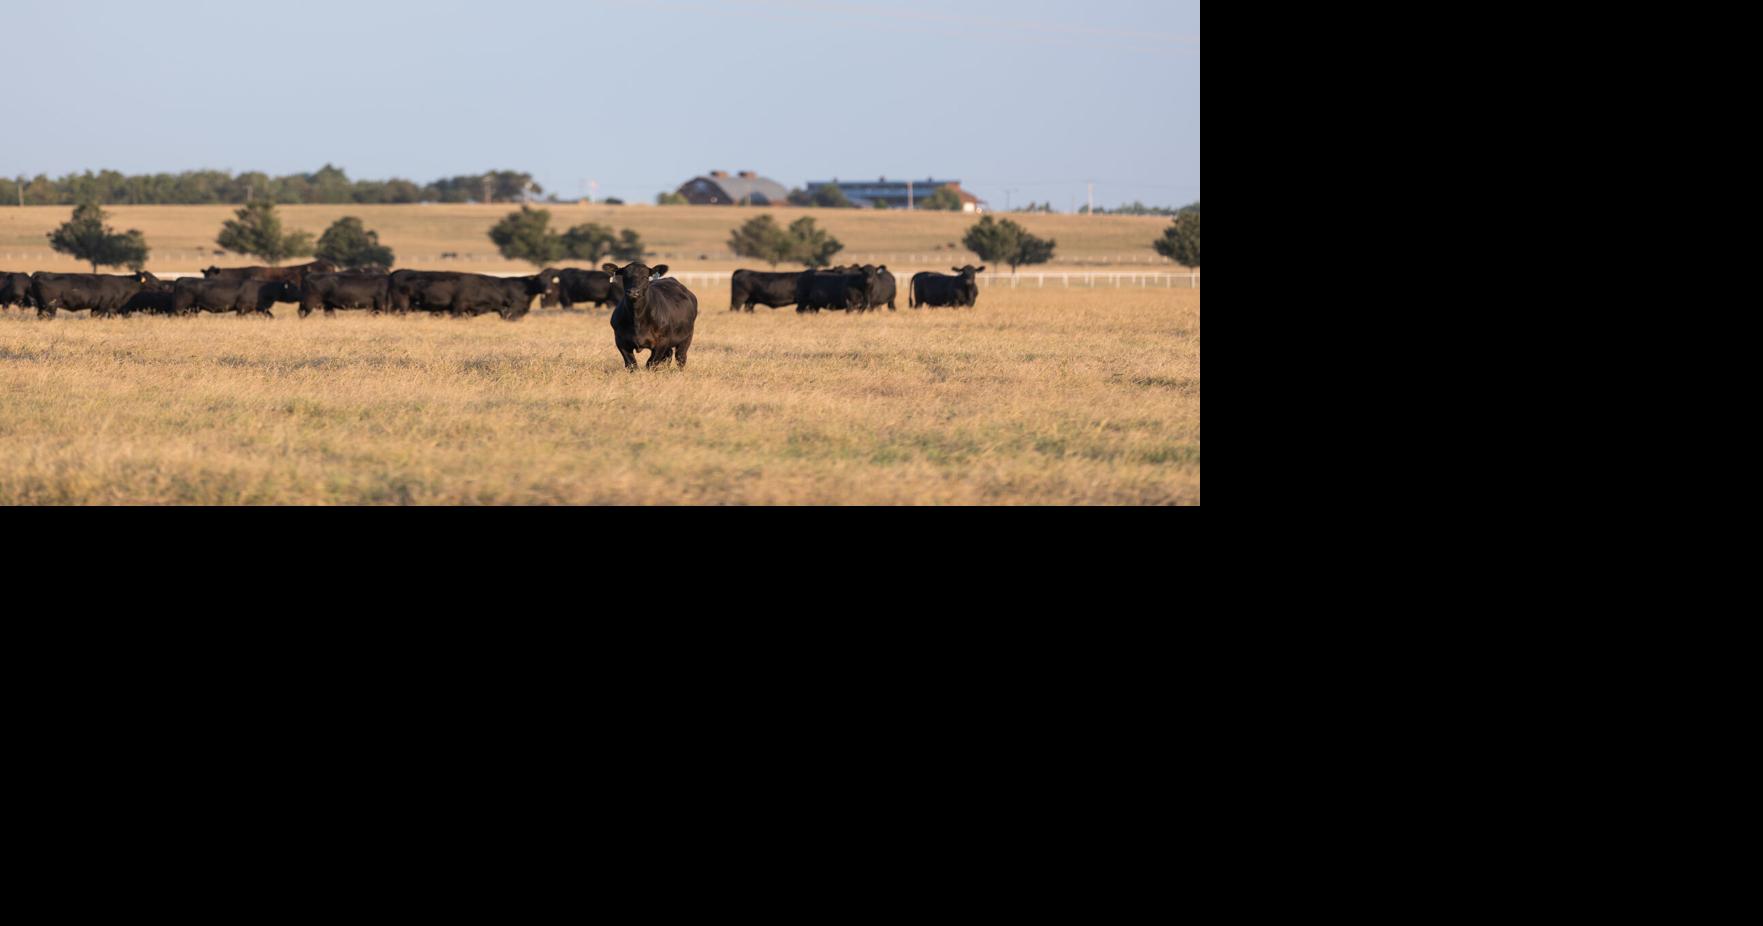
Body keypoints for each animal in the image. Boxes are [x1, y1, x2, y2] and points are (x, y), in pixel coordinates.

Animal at [30, 272, 162, 317]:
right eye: (151, 278)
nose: (162, 285)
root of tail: (41, 274)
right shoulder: (104, 307)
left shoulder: (97, 308)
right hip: (49, 306)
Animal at [170, 277, 300, 316]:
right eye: (293, 287)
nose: (301, 295)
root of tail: (181, 278)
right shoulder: (242, 309)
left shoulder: (261, 308)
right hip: (180, 306)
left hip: (192, 309)